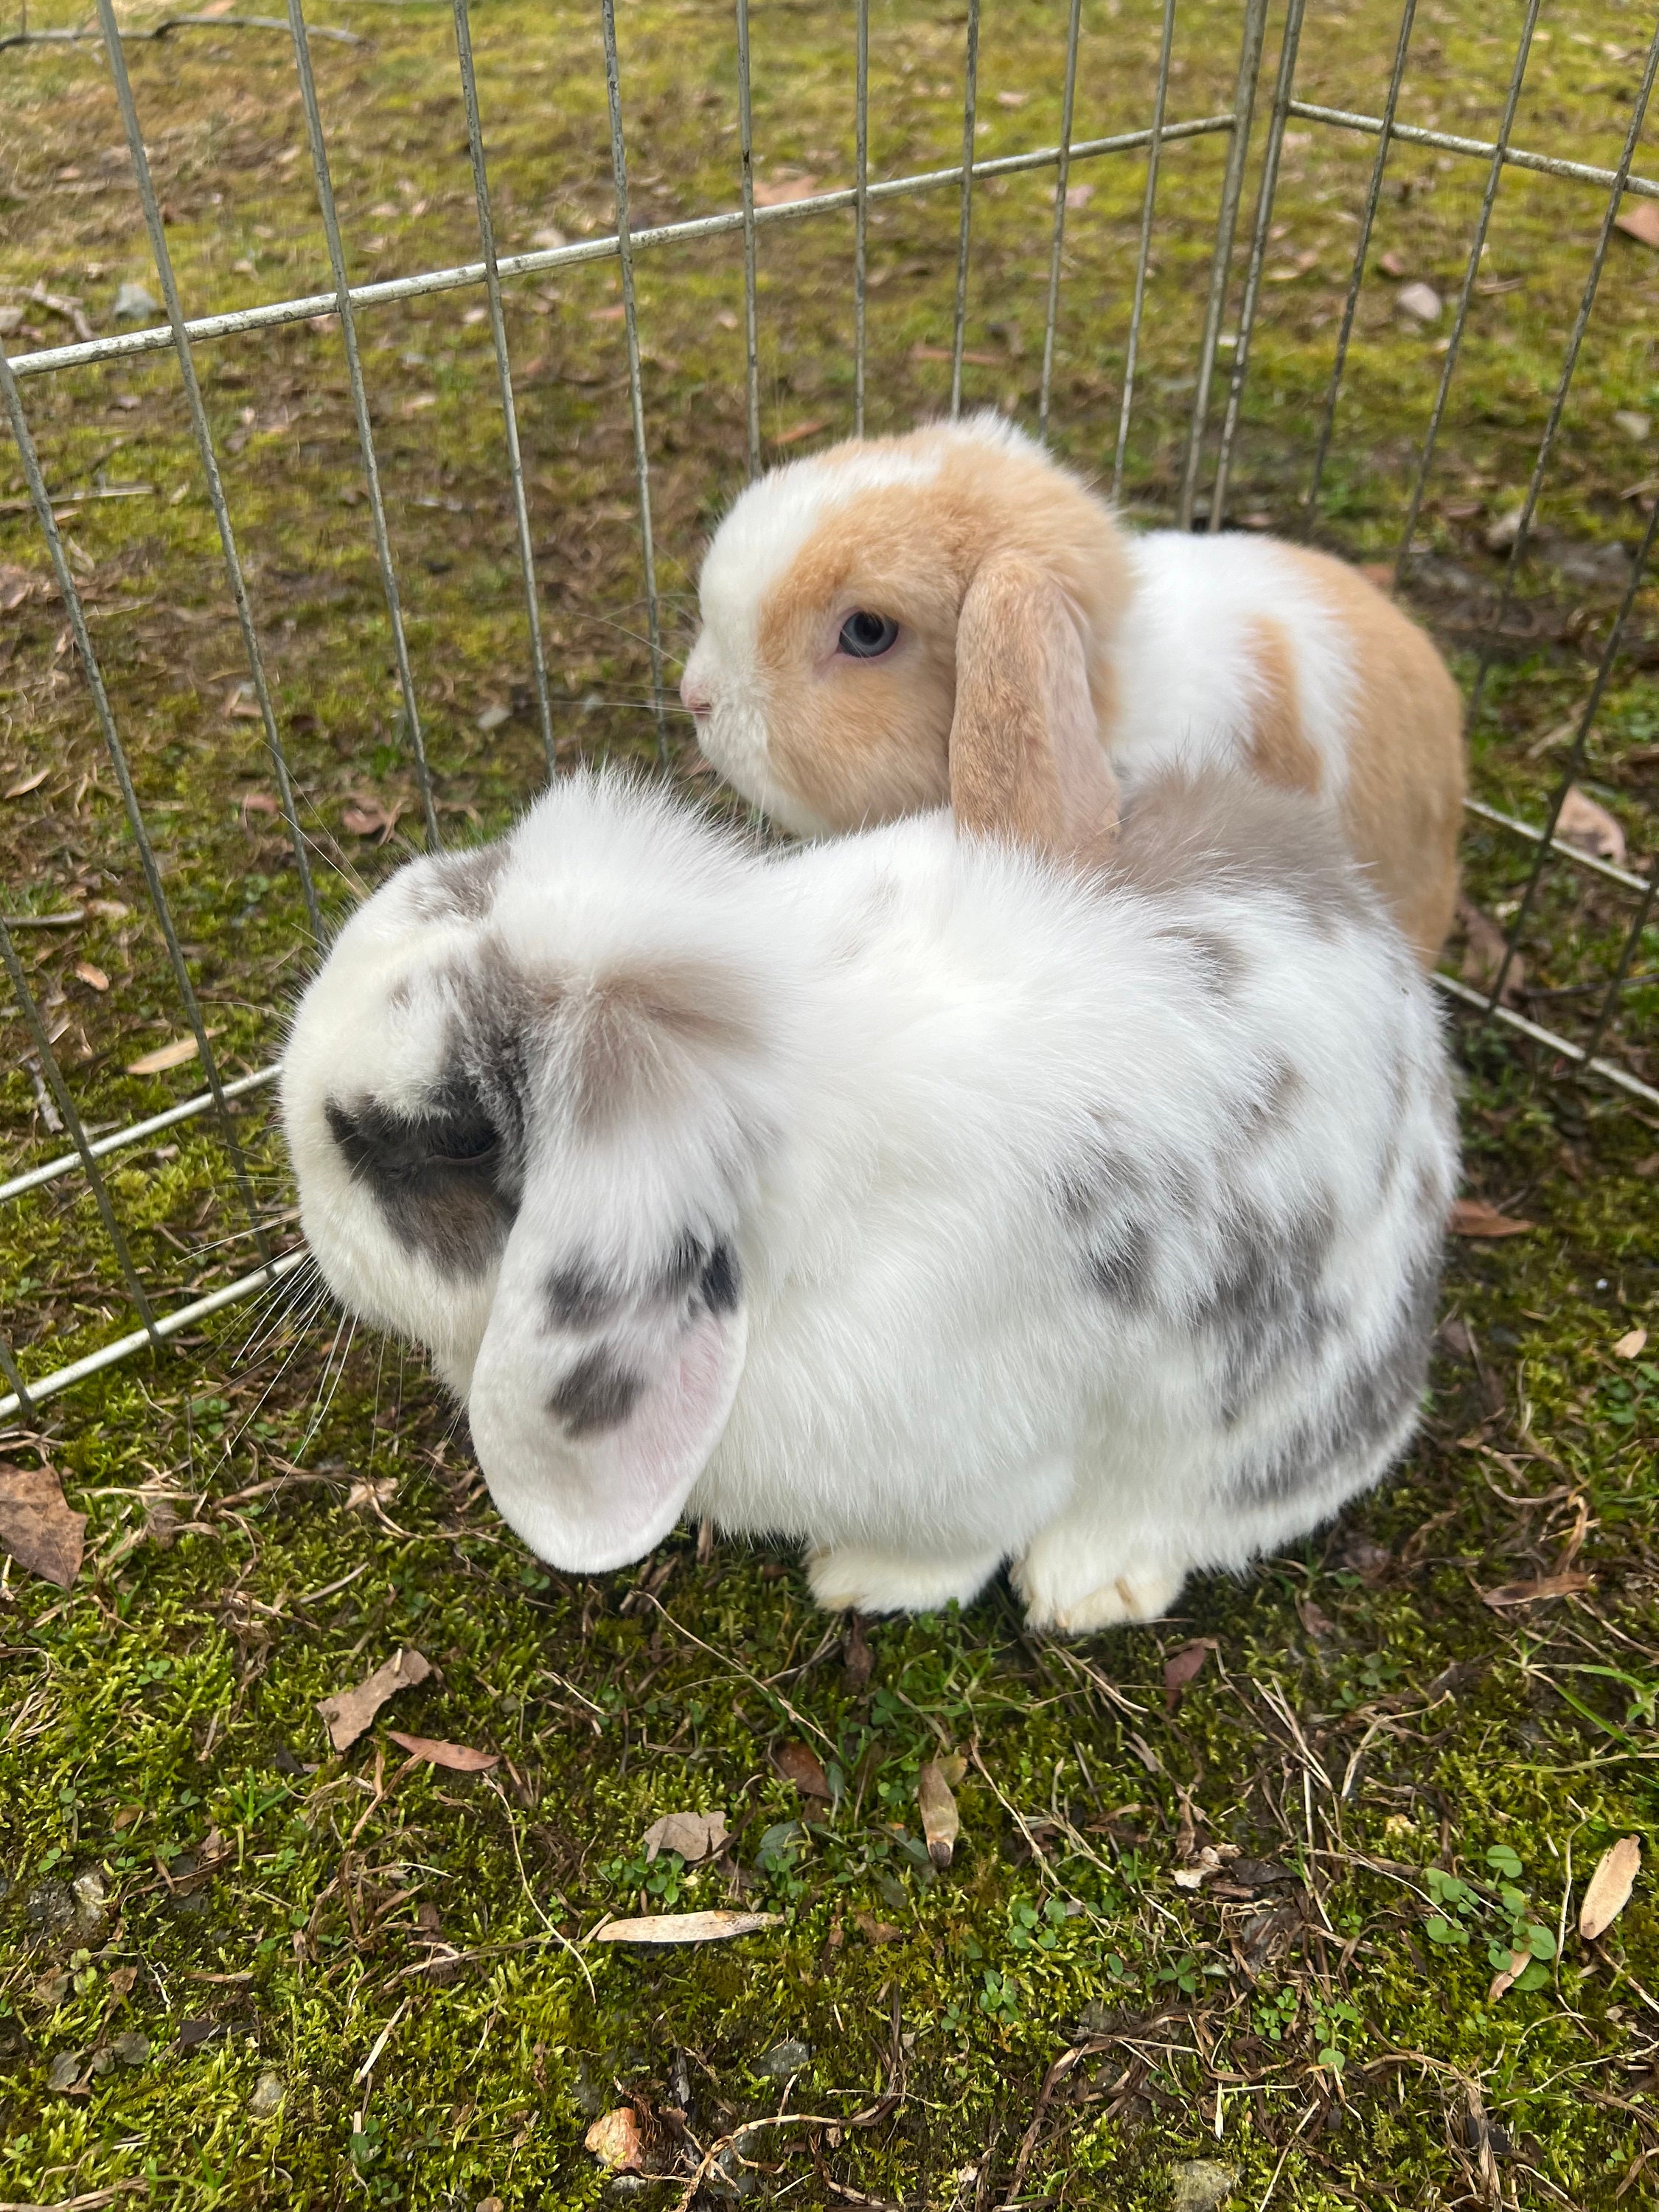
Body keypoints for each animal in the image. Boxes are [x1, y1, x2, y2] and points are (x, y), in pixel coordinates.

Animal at [281, 758, 1457, 1632]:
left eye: (453, 1138)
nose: (305, 1198)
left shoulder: (978, 1456)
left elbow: (959, 1545)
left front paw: (860, 1582)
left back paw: (1090, 1584)